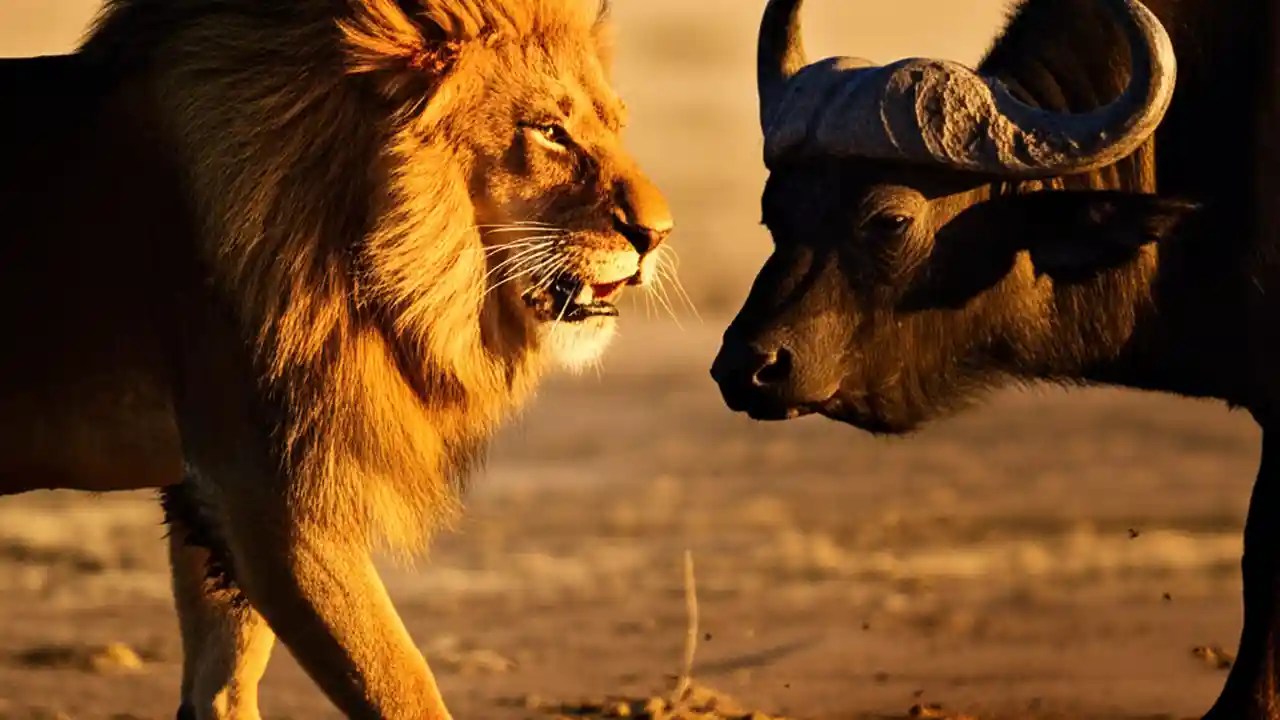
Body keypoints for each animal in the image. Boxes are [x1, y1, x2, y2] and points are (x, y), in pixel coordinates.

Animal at [0, 0, 673, 717]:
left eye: (615, 124)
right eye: (550, 131)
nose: (658, 235)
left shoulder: (210, 492)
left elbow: (223, 680)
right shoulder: (271, 491)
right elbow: (400, 685)